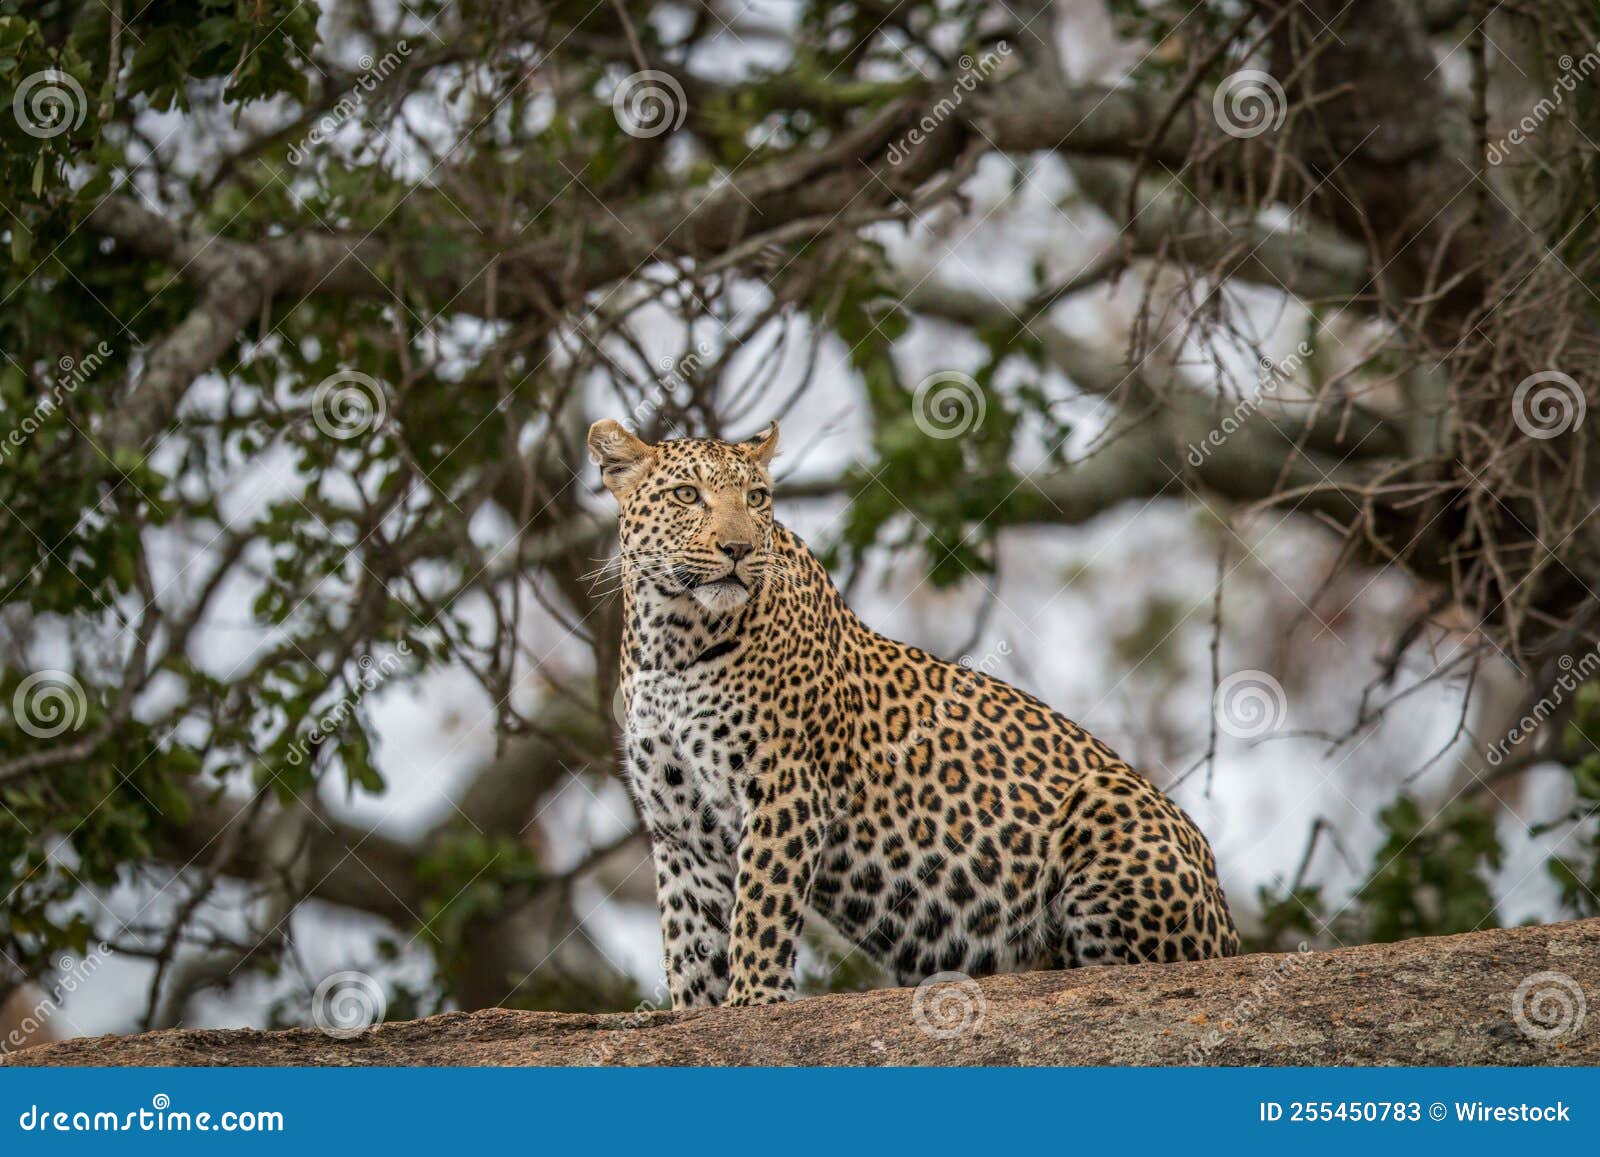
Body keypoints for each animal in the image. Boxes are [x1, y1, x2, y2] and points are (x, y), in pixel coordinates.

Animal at [588, 417, 1239, 1008]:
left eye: (756, 499)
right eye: (686, 495)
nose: (738, 548)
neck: (673, 642)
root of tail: (1229, 931)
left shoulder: (785, 789)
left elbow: (760, 911)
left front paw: (752, 1002)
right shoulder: (680, 829)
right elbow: (690, 939)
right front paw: (695, 1015)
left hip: (1107, 802)